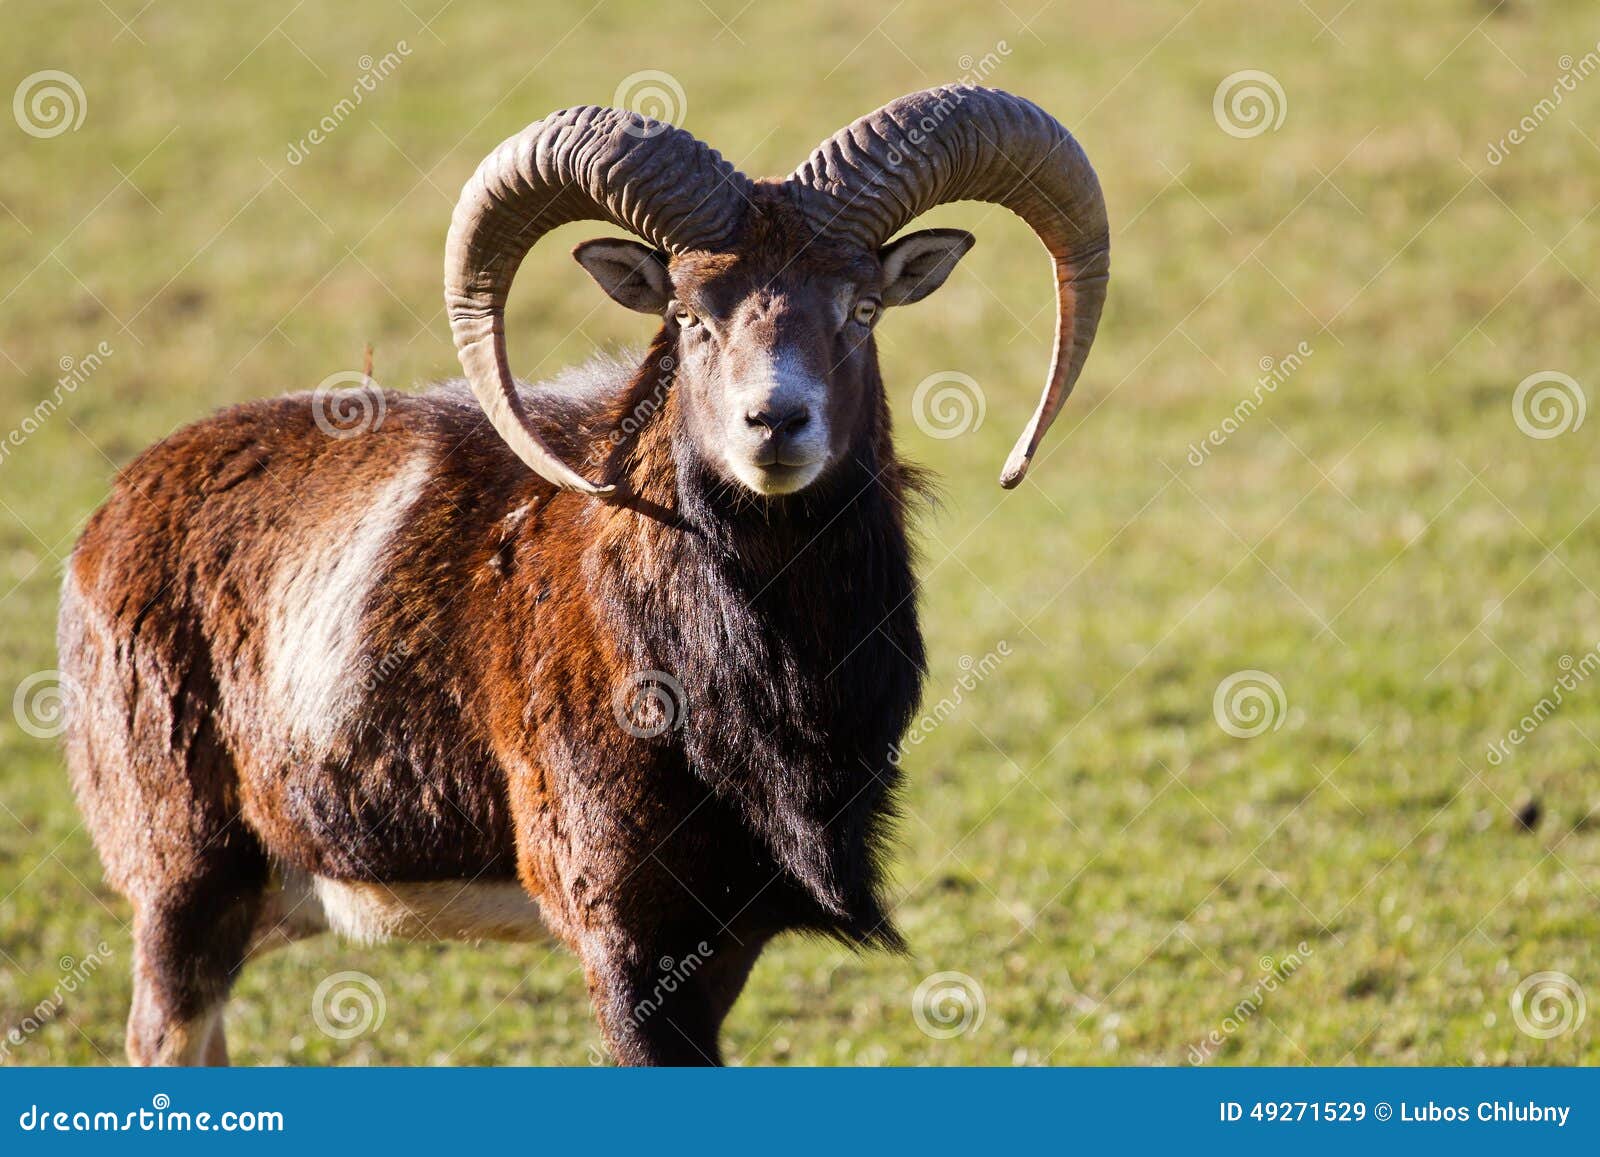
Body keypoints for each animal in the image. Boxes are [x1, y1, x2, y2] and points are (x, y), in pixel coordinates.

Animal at [58, 85, 1109, 1066]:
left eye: (861, 308)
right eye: (688, 314)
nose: (776, 423)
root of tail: (115, 518)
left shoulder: (722, 948)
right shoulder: (627, 947)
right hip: (183, 894)